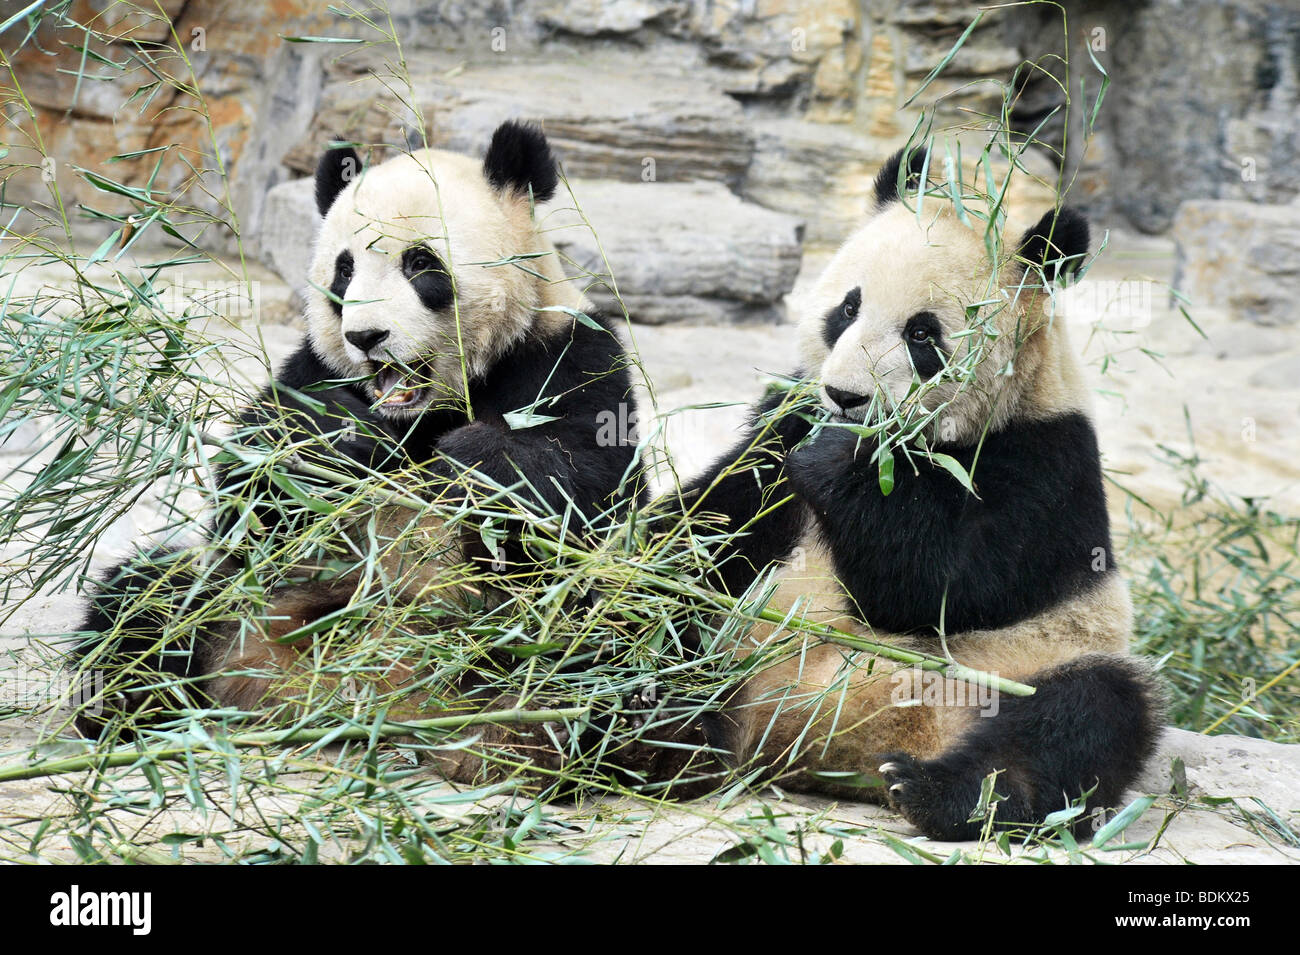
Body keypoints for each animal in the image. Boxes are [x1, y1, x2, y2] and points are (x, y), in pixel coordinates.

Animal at [73, 120, 643, 756]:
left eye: (421, 264)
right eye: (344, 272)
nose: (366, 335)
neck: (428, 410)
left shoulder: (569, 354)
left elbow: (587, 494)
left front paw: (474, 462)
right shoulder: (312, 368)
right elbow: (252, 494)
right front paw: (340, 437)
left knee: (605, 642)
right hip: (232, 602)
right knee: (144, 601)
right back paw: (129, 705)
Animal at [676, 144, 1165, 840]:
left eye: (922, 334)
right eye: (847, 309)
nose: (846, 397)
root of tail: (827, 743)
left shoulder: (1049, 457)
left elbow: (946, 583)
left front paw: (840, 460)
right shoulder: (782, 421)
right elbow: (715, 518)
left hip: (1024, 667)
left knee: (1084, 719)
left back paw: (940, 793)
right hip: (739, 639)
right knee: (679, 637)